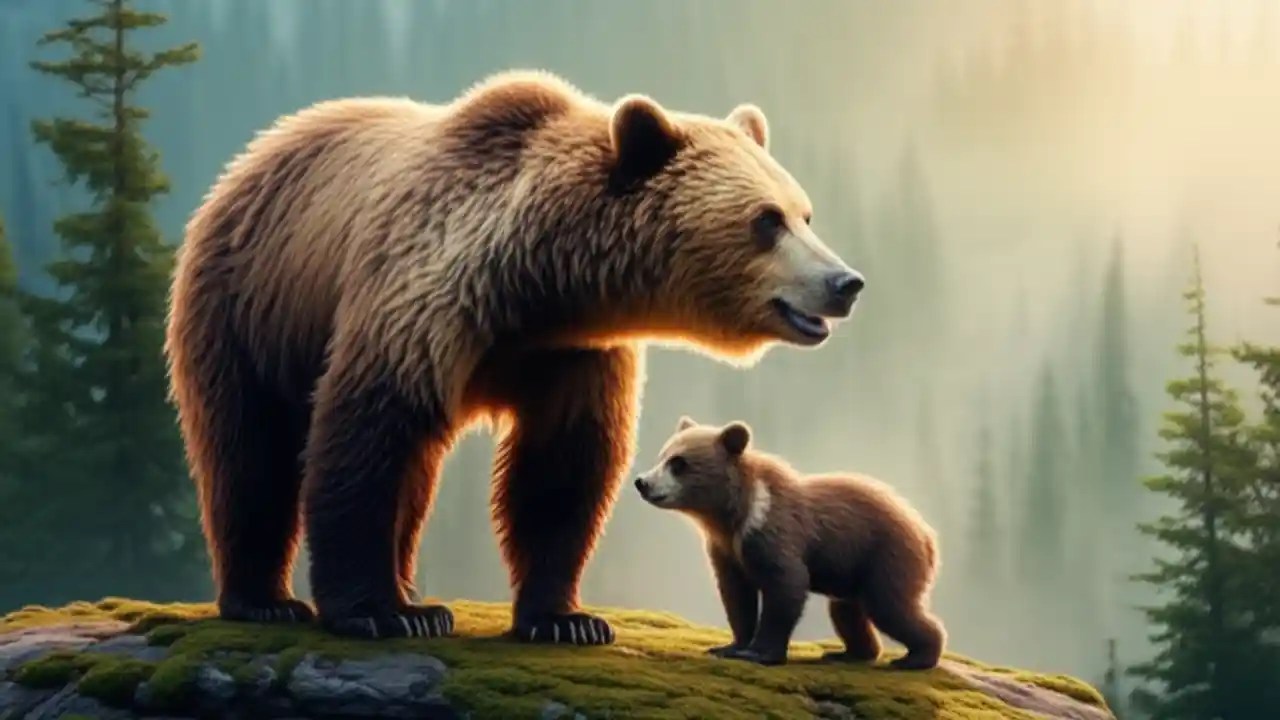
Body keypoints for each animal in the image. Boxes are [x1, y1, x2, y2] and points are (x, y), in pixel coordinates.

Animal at [164, 69, 865, 644]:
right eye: (767, 219)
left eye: (804, 213)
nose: (845, 282)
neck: (538, 284)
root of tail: (255, 152)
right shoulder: (420, 302)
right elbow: (365, 435)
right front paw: (376, 612)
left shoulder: (575, 352)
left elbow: (563, 467)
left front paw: (566, 619)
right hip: (247, 306)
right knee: (248, 449)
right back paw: (268, 600)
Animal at [634, 417, 945, 669]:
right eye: (662, 456)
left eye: (679, 463)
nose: (642, 482)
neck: (732, 518)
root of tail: (928, 535)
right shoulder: (726, 550)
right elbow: (736, 594)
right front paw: (728, 645)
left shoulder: (773, 533)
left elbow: (785, 585)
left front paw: (758, 652)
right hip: (854, 573)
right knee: (846, 612)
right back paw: (848, 653)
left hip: (887, 555)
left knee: (891, 607)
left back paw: (916, 657)